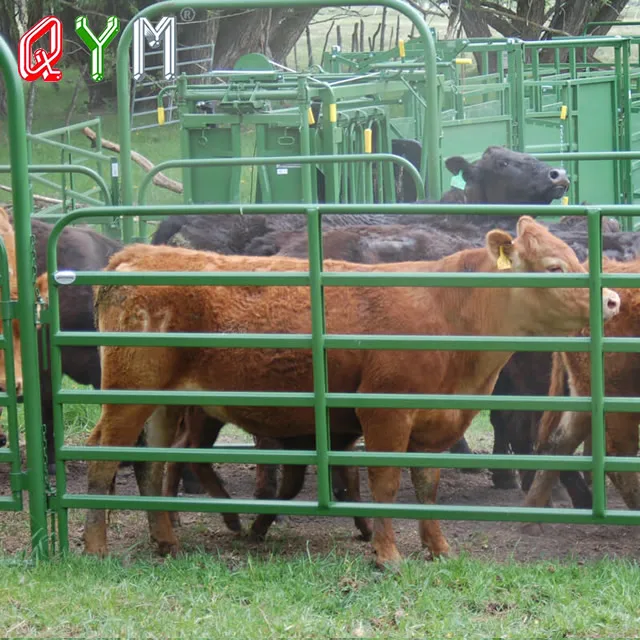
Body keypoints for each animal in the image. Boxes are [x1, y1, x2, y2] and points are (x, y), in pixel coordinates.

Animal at [80, 216, 620, 567]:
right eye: (554, 267)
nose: (614, 299)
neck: (450, 310)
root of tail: (135, 255)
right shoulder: (384, 414)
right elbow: (385, 484)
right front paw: (387, 555)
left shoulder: (435, 424)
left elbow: (427, 488)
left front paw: (438, 548)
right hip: (128, 394)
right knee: (104, 456)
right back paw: (95, 546)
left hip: (163, 403)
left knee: (152, 465)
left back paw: (167, 541)